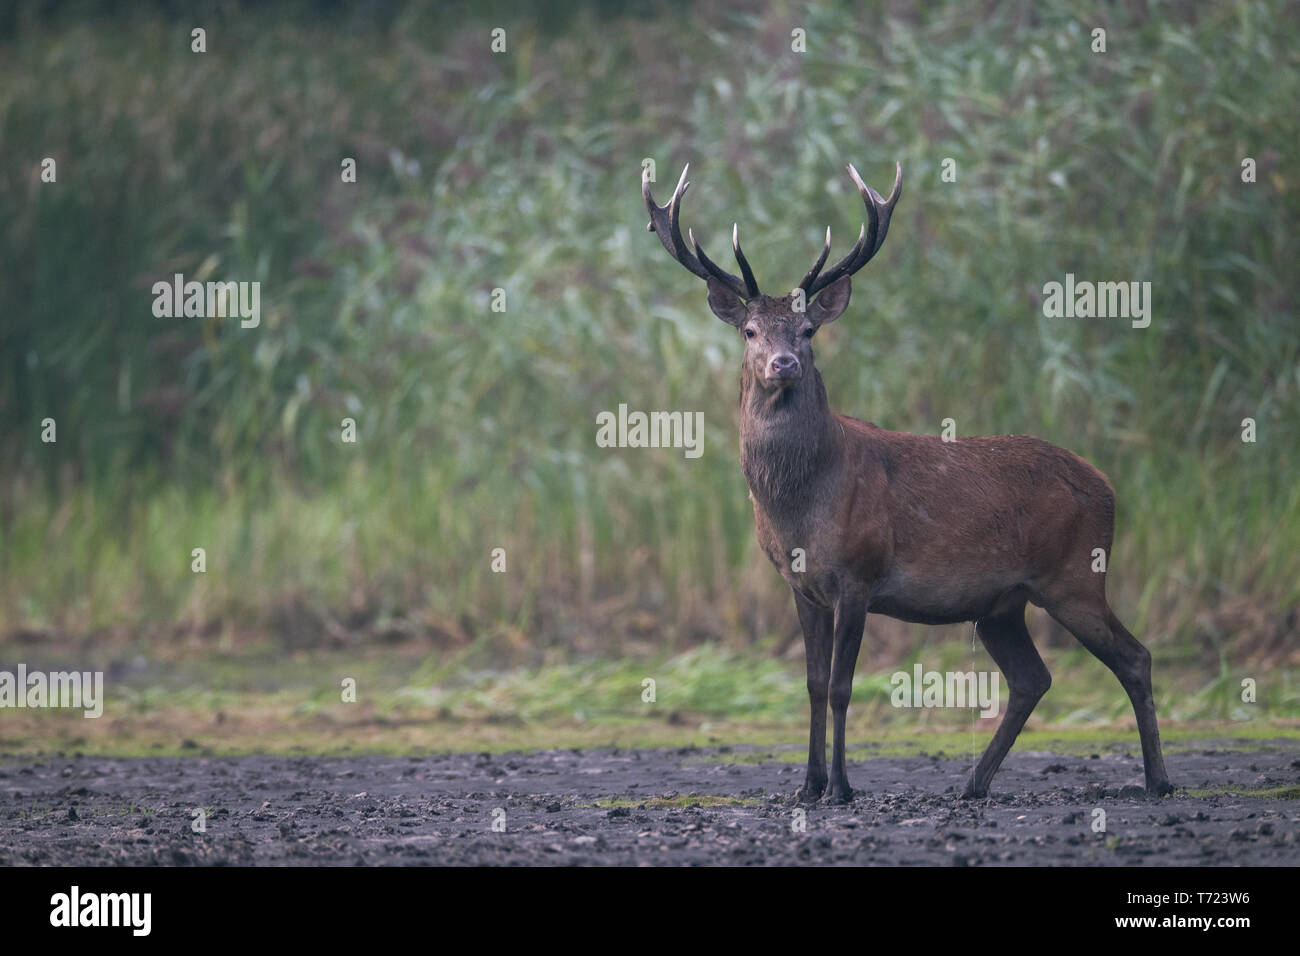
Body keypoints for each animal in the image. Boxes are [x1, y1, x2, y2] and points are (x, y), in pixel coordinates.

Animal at [642, 161, 1173, 804]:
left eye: (808, 330)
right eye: (749, 330)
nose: (783, 364)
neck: (798, 506)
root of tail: (1109, 487)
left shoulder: (859, 573)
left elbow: (841, 687)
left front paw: (841, 787)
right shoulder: (800, 585)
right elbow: (812, 684)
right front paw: (807, 786)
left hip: (1075, 575)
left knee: (1135, 656)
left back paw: (1158, 780)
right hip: (1002, 604)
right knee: (1032, 677)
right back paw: (973, 784)